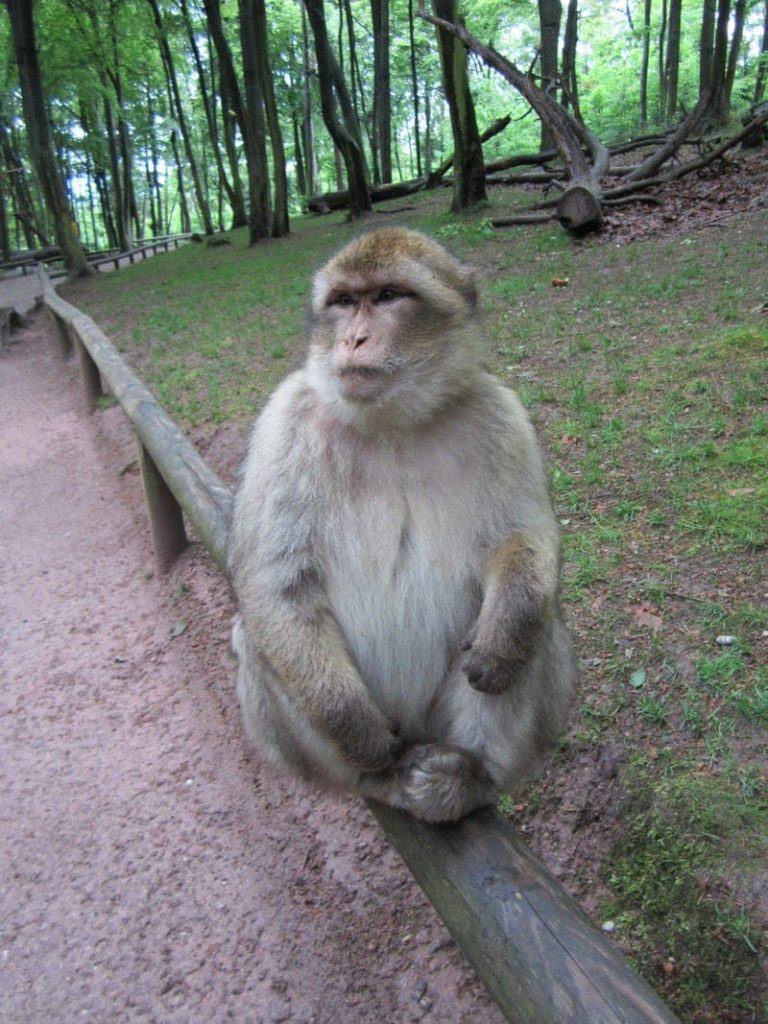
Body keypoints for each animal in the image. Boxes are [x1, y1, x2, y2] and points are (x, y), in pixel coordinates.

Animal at [228, 227, 575, 824]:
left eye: (388, 296)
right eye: (344, 302)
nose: (354, 339)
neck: (394, 422)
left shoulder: (500, 413)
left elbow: (522, 538)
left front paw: (503, 642)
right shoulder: (284, 421)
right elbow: (274, 581)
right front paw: (355, 728)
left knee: (539, 617)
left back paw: (471, 777)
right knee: (254, 638)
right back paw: (381, 775)